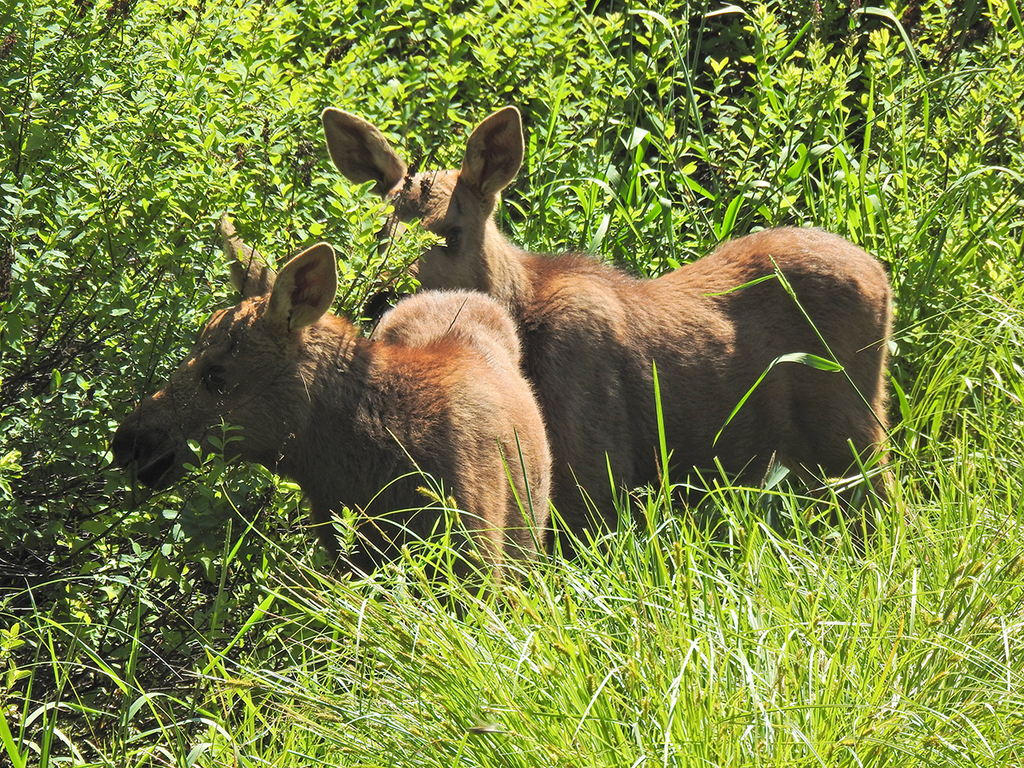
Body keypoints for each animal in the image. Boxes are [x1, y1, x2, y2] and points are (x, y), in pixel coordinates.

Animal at [321, 106, 894, 554]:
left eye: (450, 232)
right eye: (380, 232)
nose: (379, 296)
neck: (522, 314)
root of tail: (882, 277)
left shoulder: (595, 470)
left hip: (851, 424)